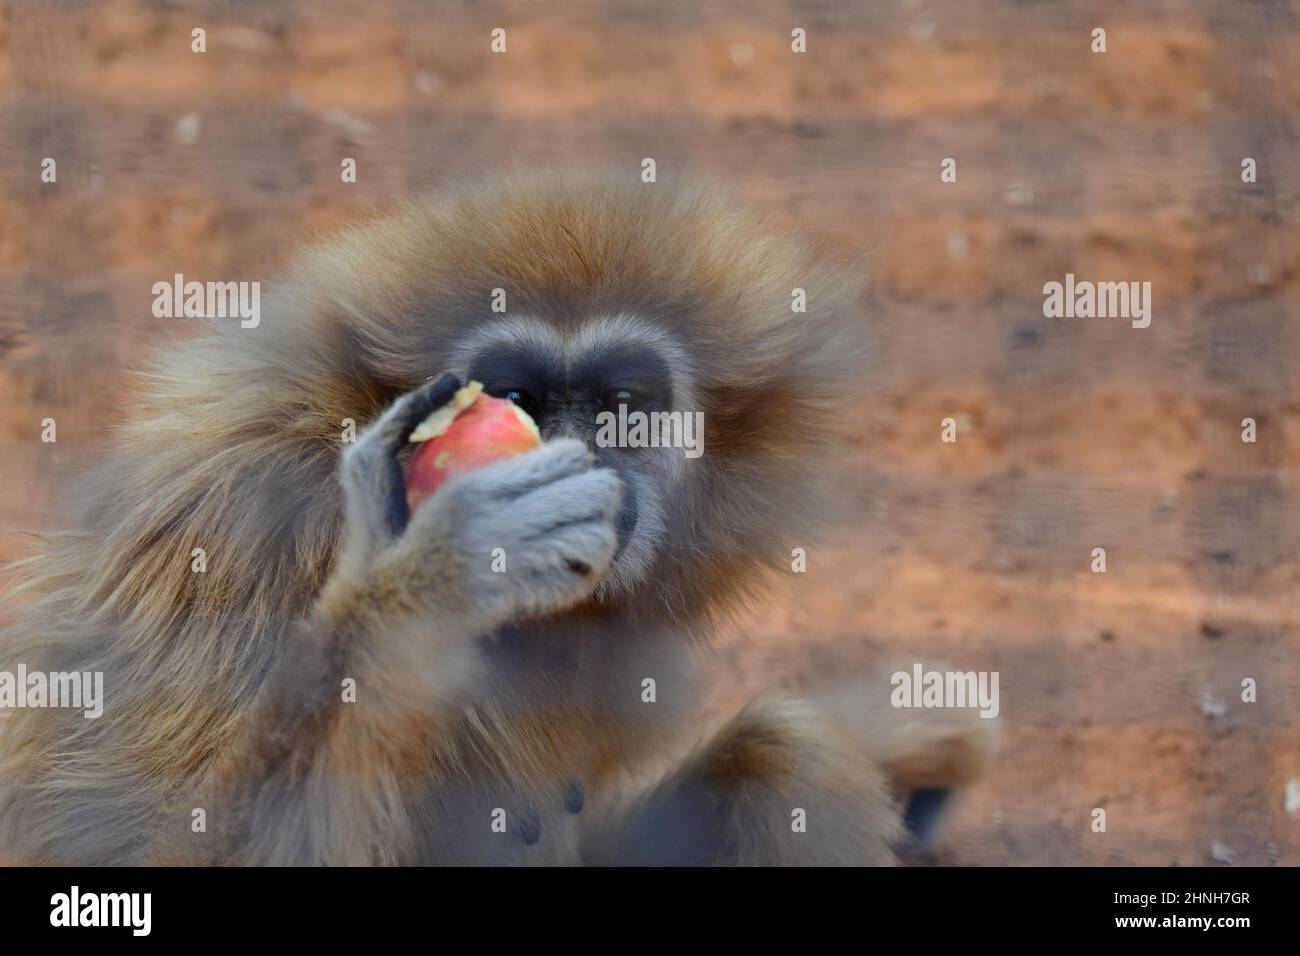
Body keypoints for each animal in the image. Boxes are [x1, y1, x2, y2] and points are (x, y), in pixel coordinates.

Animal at [0, 170, 995, 865]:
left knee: (790, 752)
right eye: (516, 396)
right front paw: (423, 576)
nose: (585, 457)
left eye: (623, 405)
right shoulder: (238, 512)